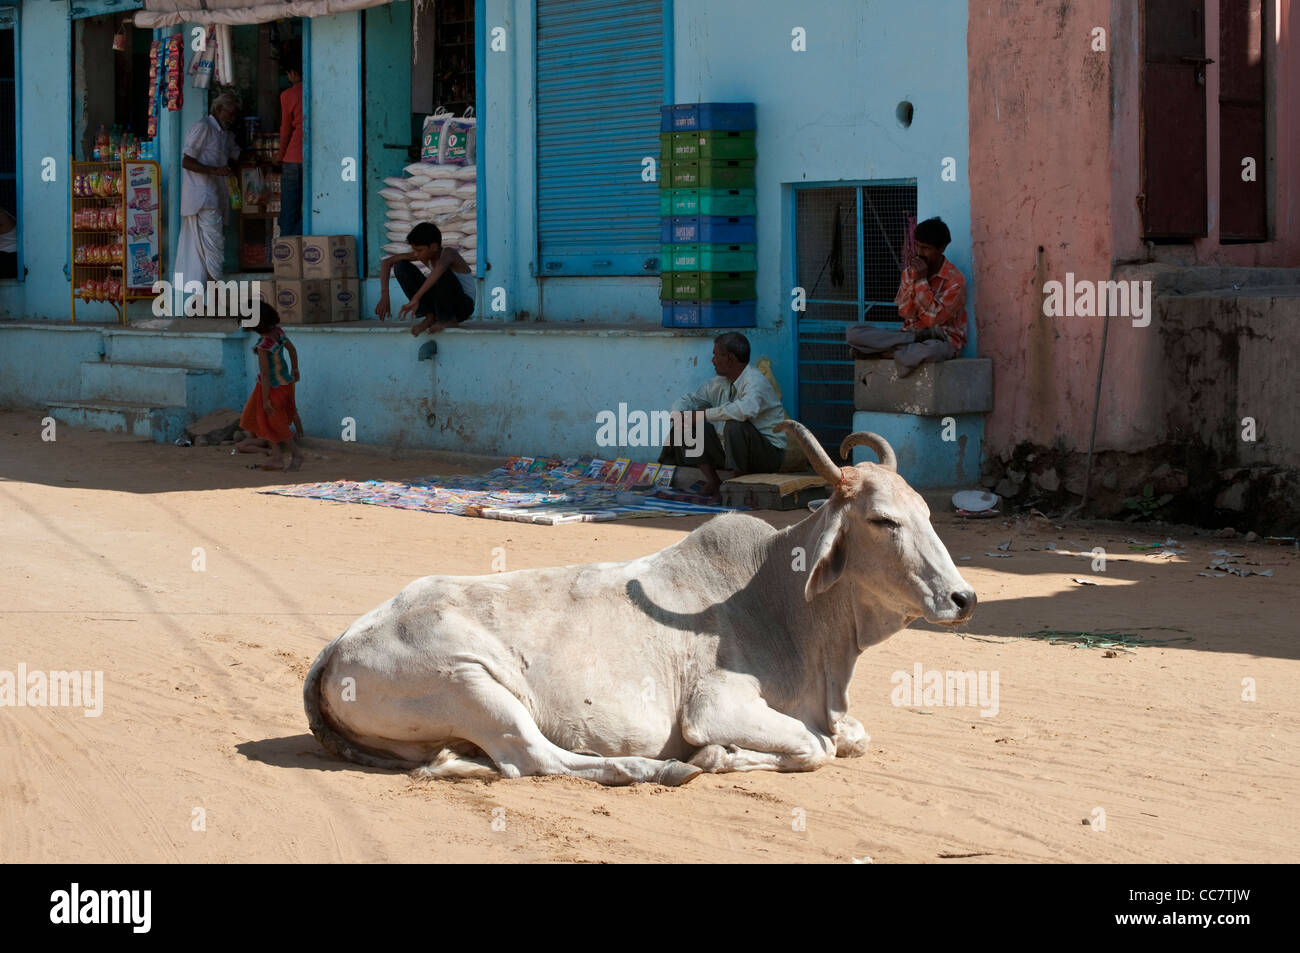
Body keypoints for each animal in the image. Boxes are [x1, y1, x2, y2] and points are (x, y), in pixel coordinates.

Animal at [304, 420, 976, 786]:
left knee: (462, 761)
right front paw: (718, 756)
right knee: (536, 758)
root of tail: (335, 649)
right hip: (473, 686)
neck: (780, 604)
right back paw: (659, 770)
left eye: (926, 512)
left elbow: (848, 738)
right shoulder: (717, 706)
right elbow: (815, 747)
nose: (963, 597)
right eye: (883, 520)